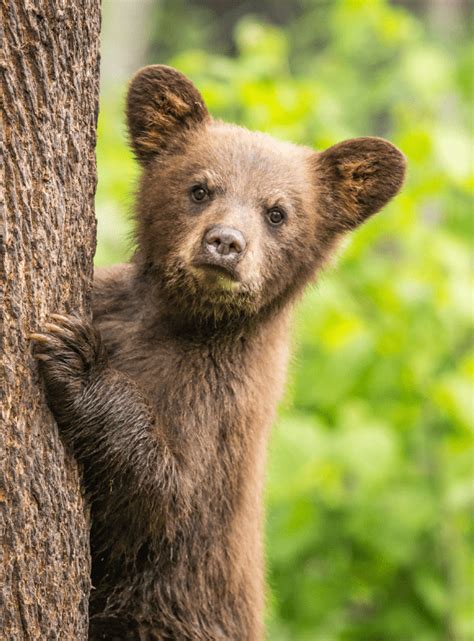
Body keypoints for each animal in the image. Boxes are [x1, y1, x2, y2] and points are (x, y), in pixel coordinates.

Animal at [31, 65, 406, 641]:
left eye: (277, 212)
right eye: (200, 187)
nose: (225, 243)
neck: (184, 323)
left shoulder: (220, 405)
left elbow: (162, 495)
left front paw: (76, 358)